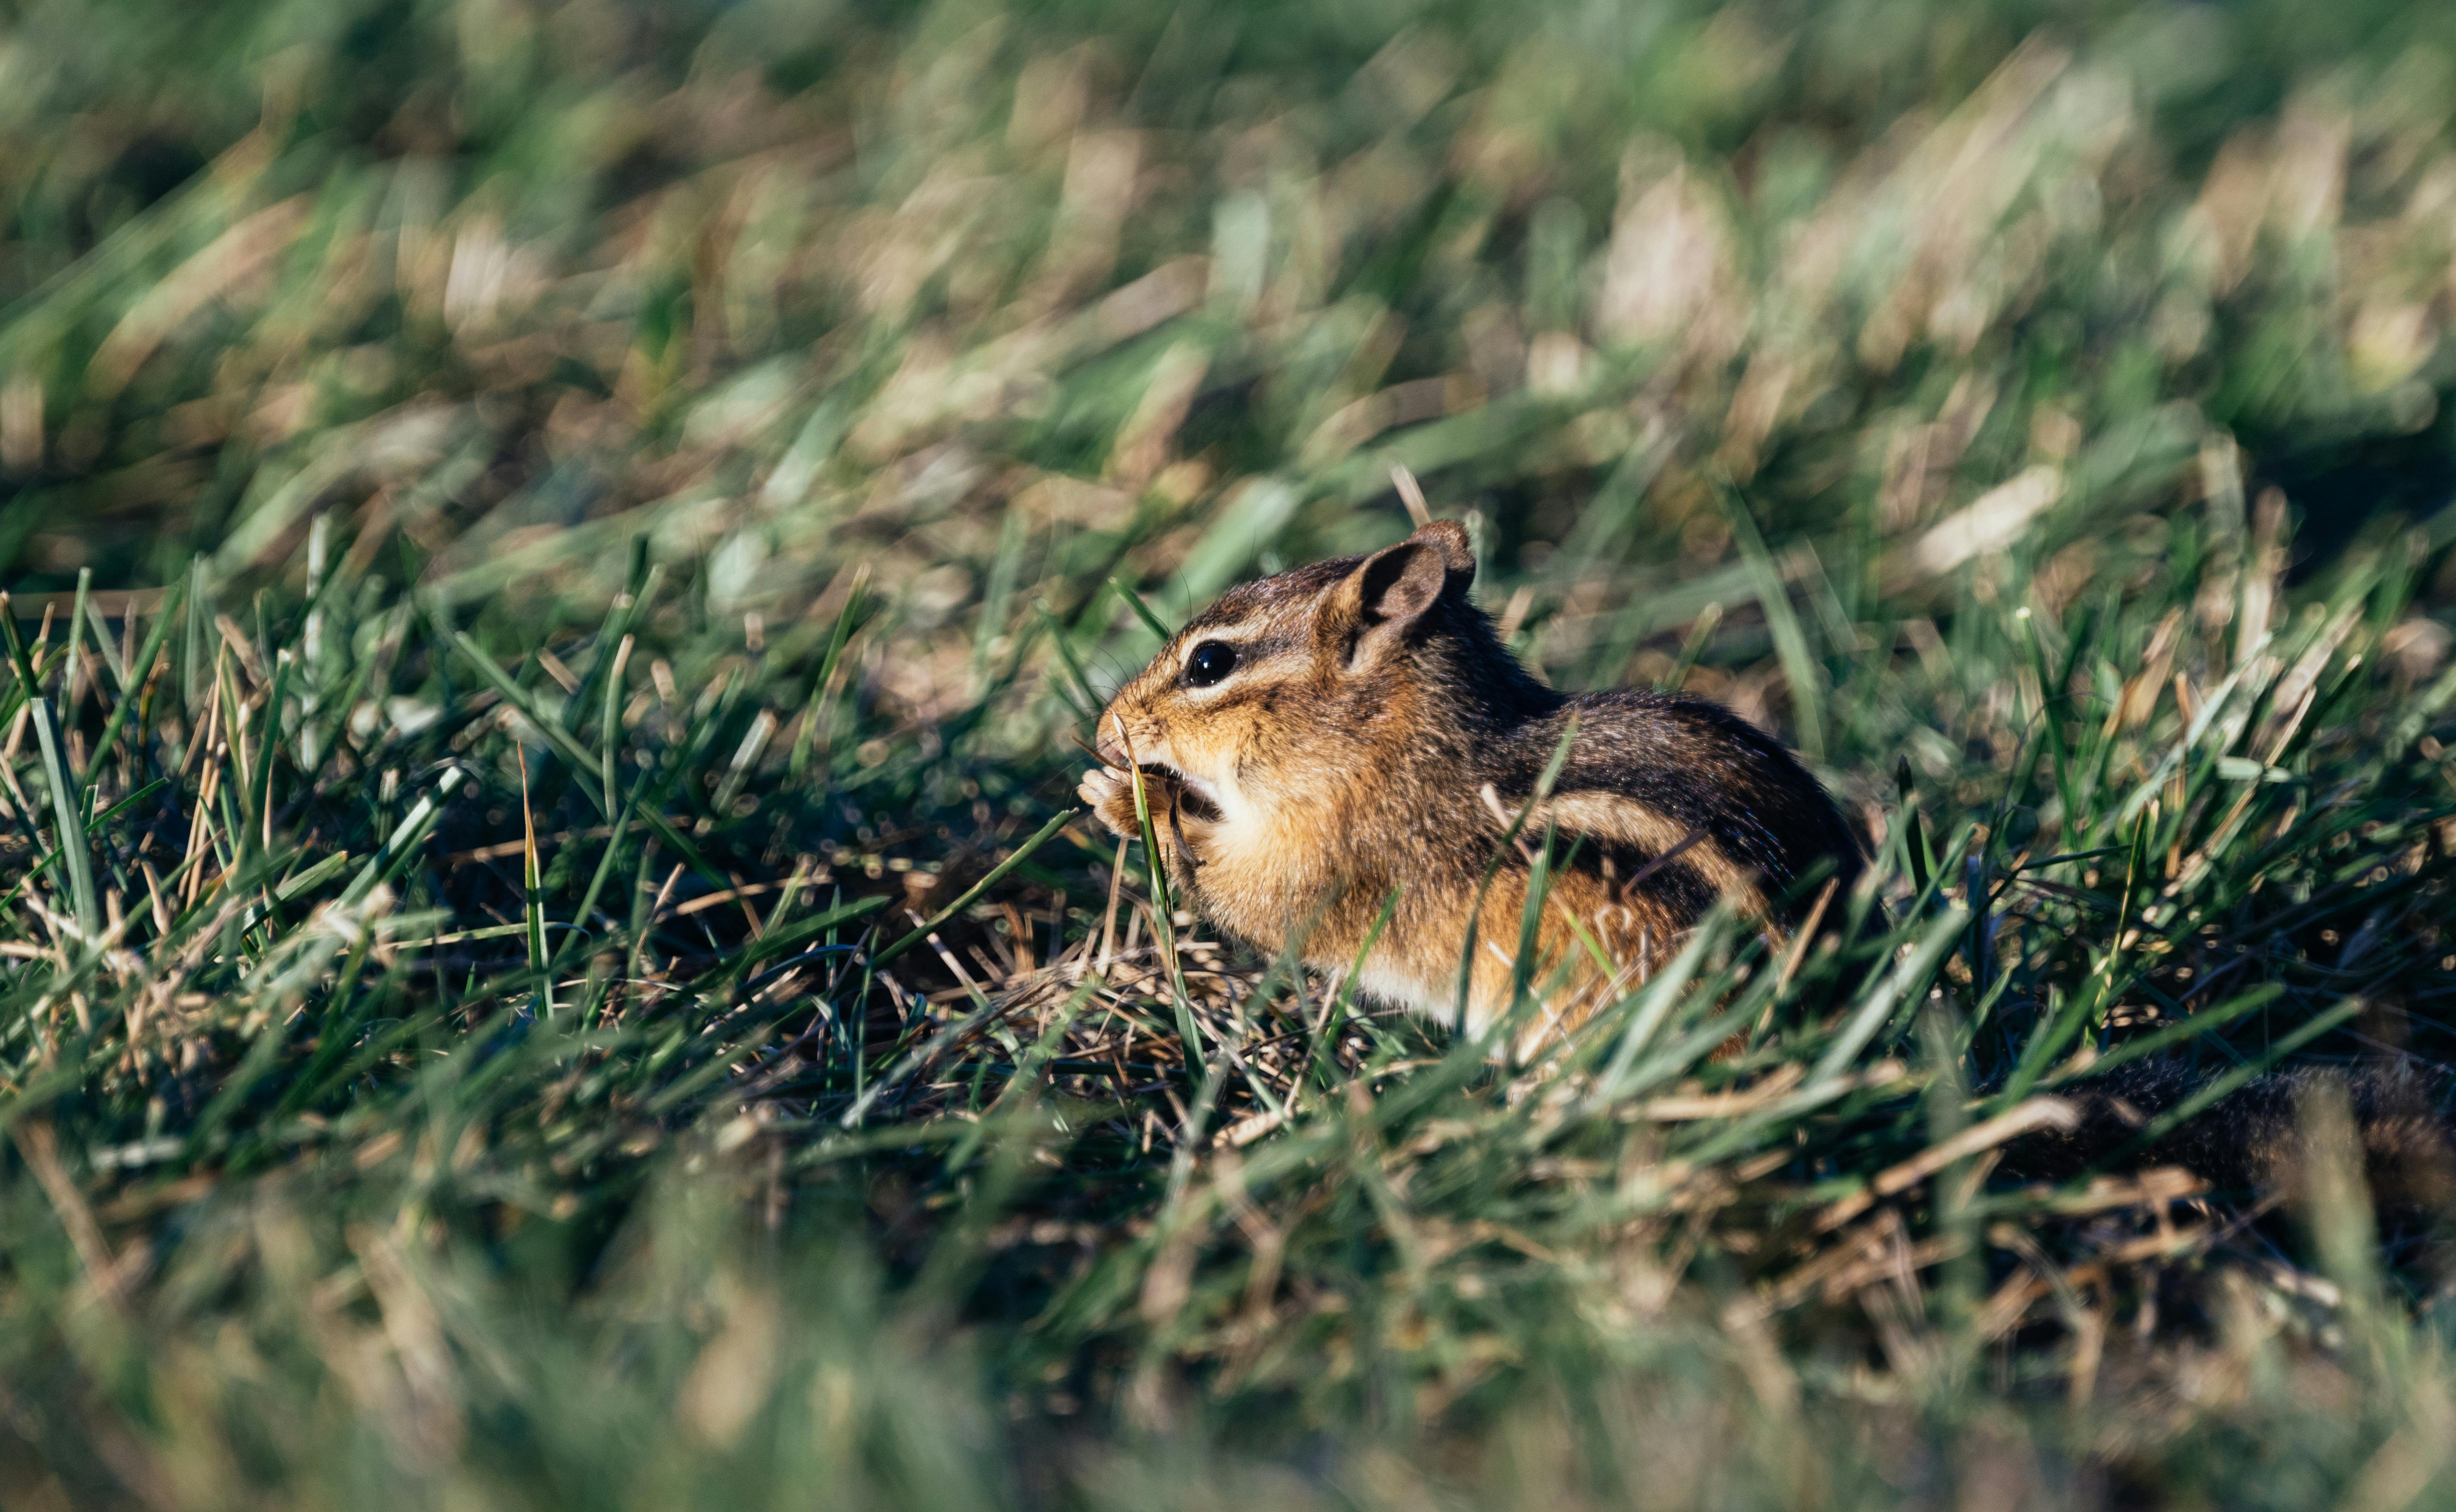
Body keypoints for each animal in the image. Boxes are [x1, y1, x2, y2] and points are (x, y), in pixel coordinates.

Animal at [1078, 519, 1861, 1055]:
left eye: (1209, 664)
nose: (1103, 733)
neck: (1385, 752)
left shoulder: (1321, 863)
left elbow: (1243, 895)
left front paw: (1126, 799)